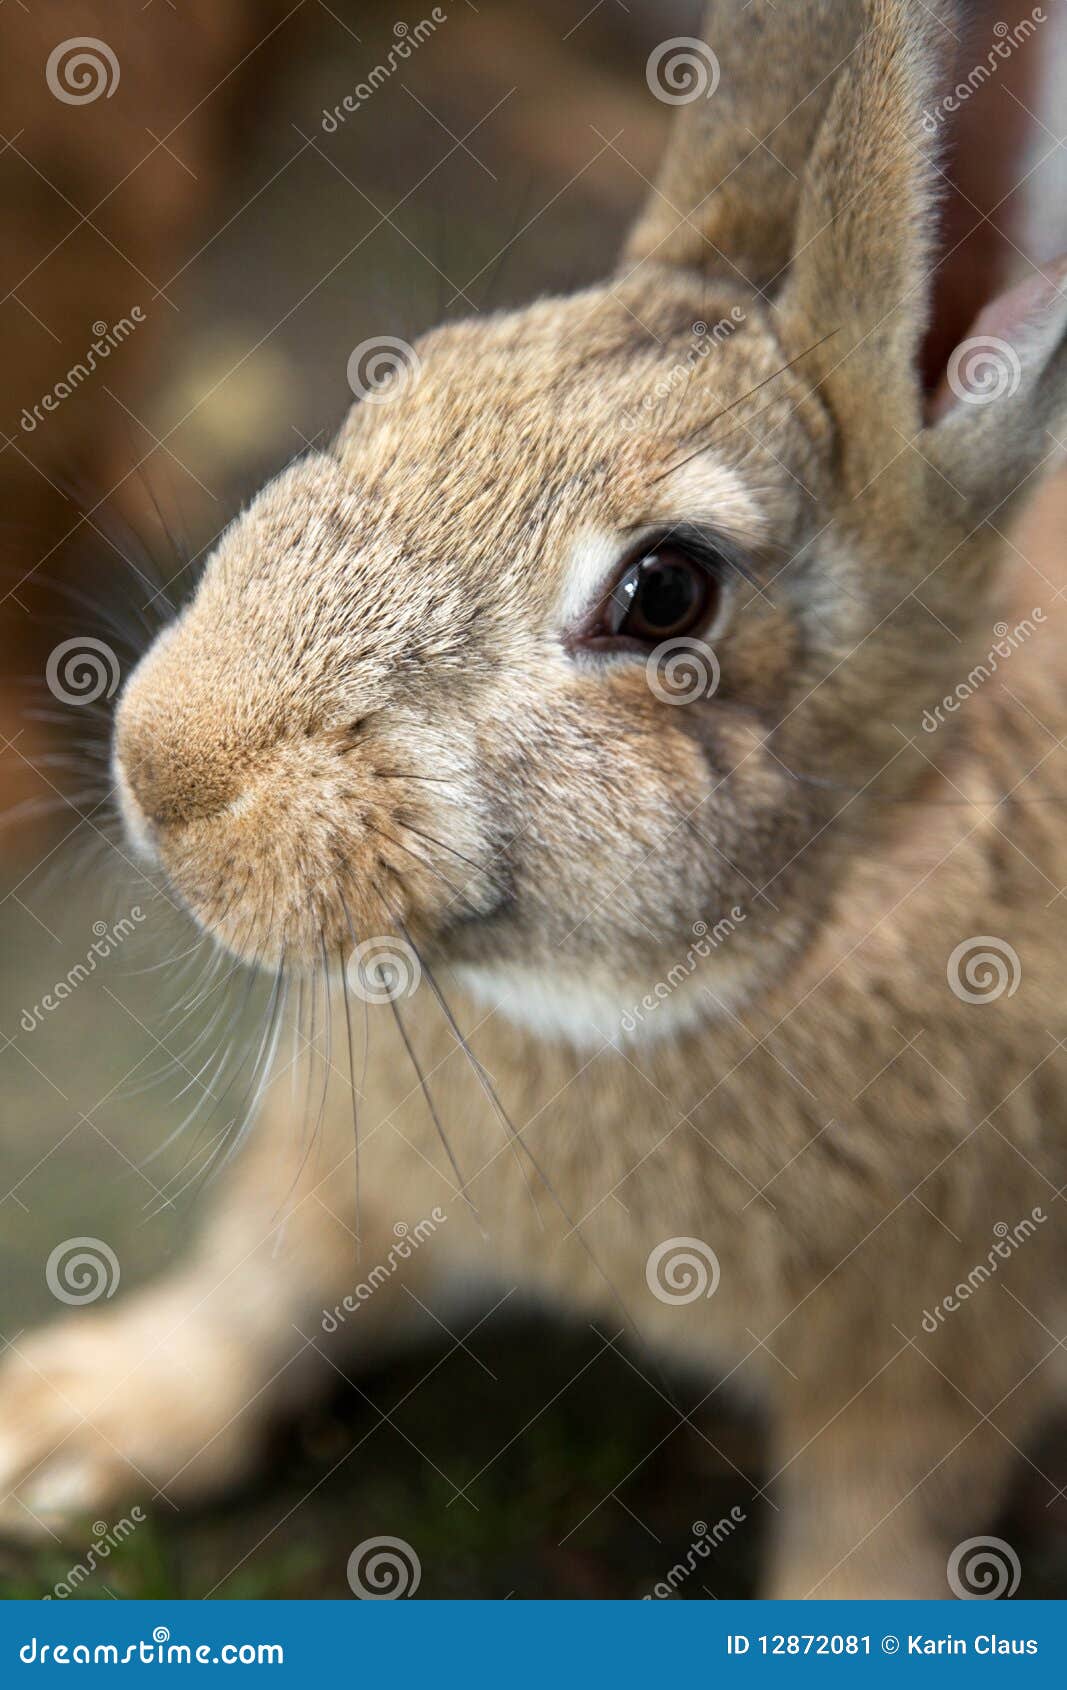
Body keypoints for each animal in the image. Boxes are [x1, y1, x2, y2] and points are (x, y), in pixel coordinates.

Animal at [3, 0, 1067, 1599]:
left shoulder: (931, 1360)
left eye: (662, 592)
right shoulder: (344, 1172)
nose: (164, 771)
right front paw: (62, 1422)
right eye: (410, 381)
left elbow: (875, 1533)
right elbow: (265, 1278)